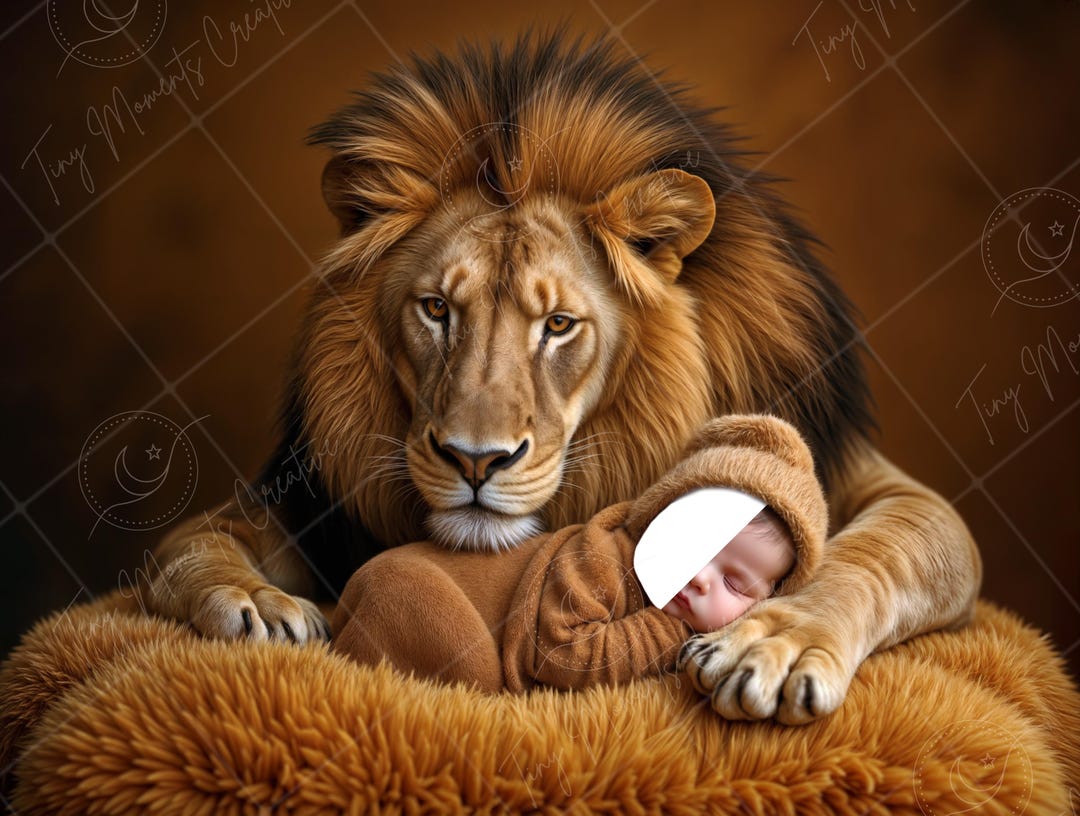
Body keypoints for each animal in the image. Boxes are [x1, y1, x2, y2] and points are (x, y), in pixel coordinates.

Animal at [142, 33, 982, 724]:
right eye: (437, 309)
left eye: (558, 325)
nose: (475, 461)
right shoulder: (310, 502)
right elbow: (188, 539)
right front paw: (256, 602)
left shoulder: (871, 481)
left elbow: (879, 551)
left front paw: (771, 642)